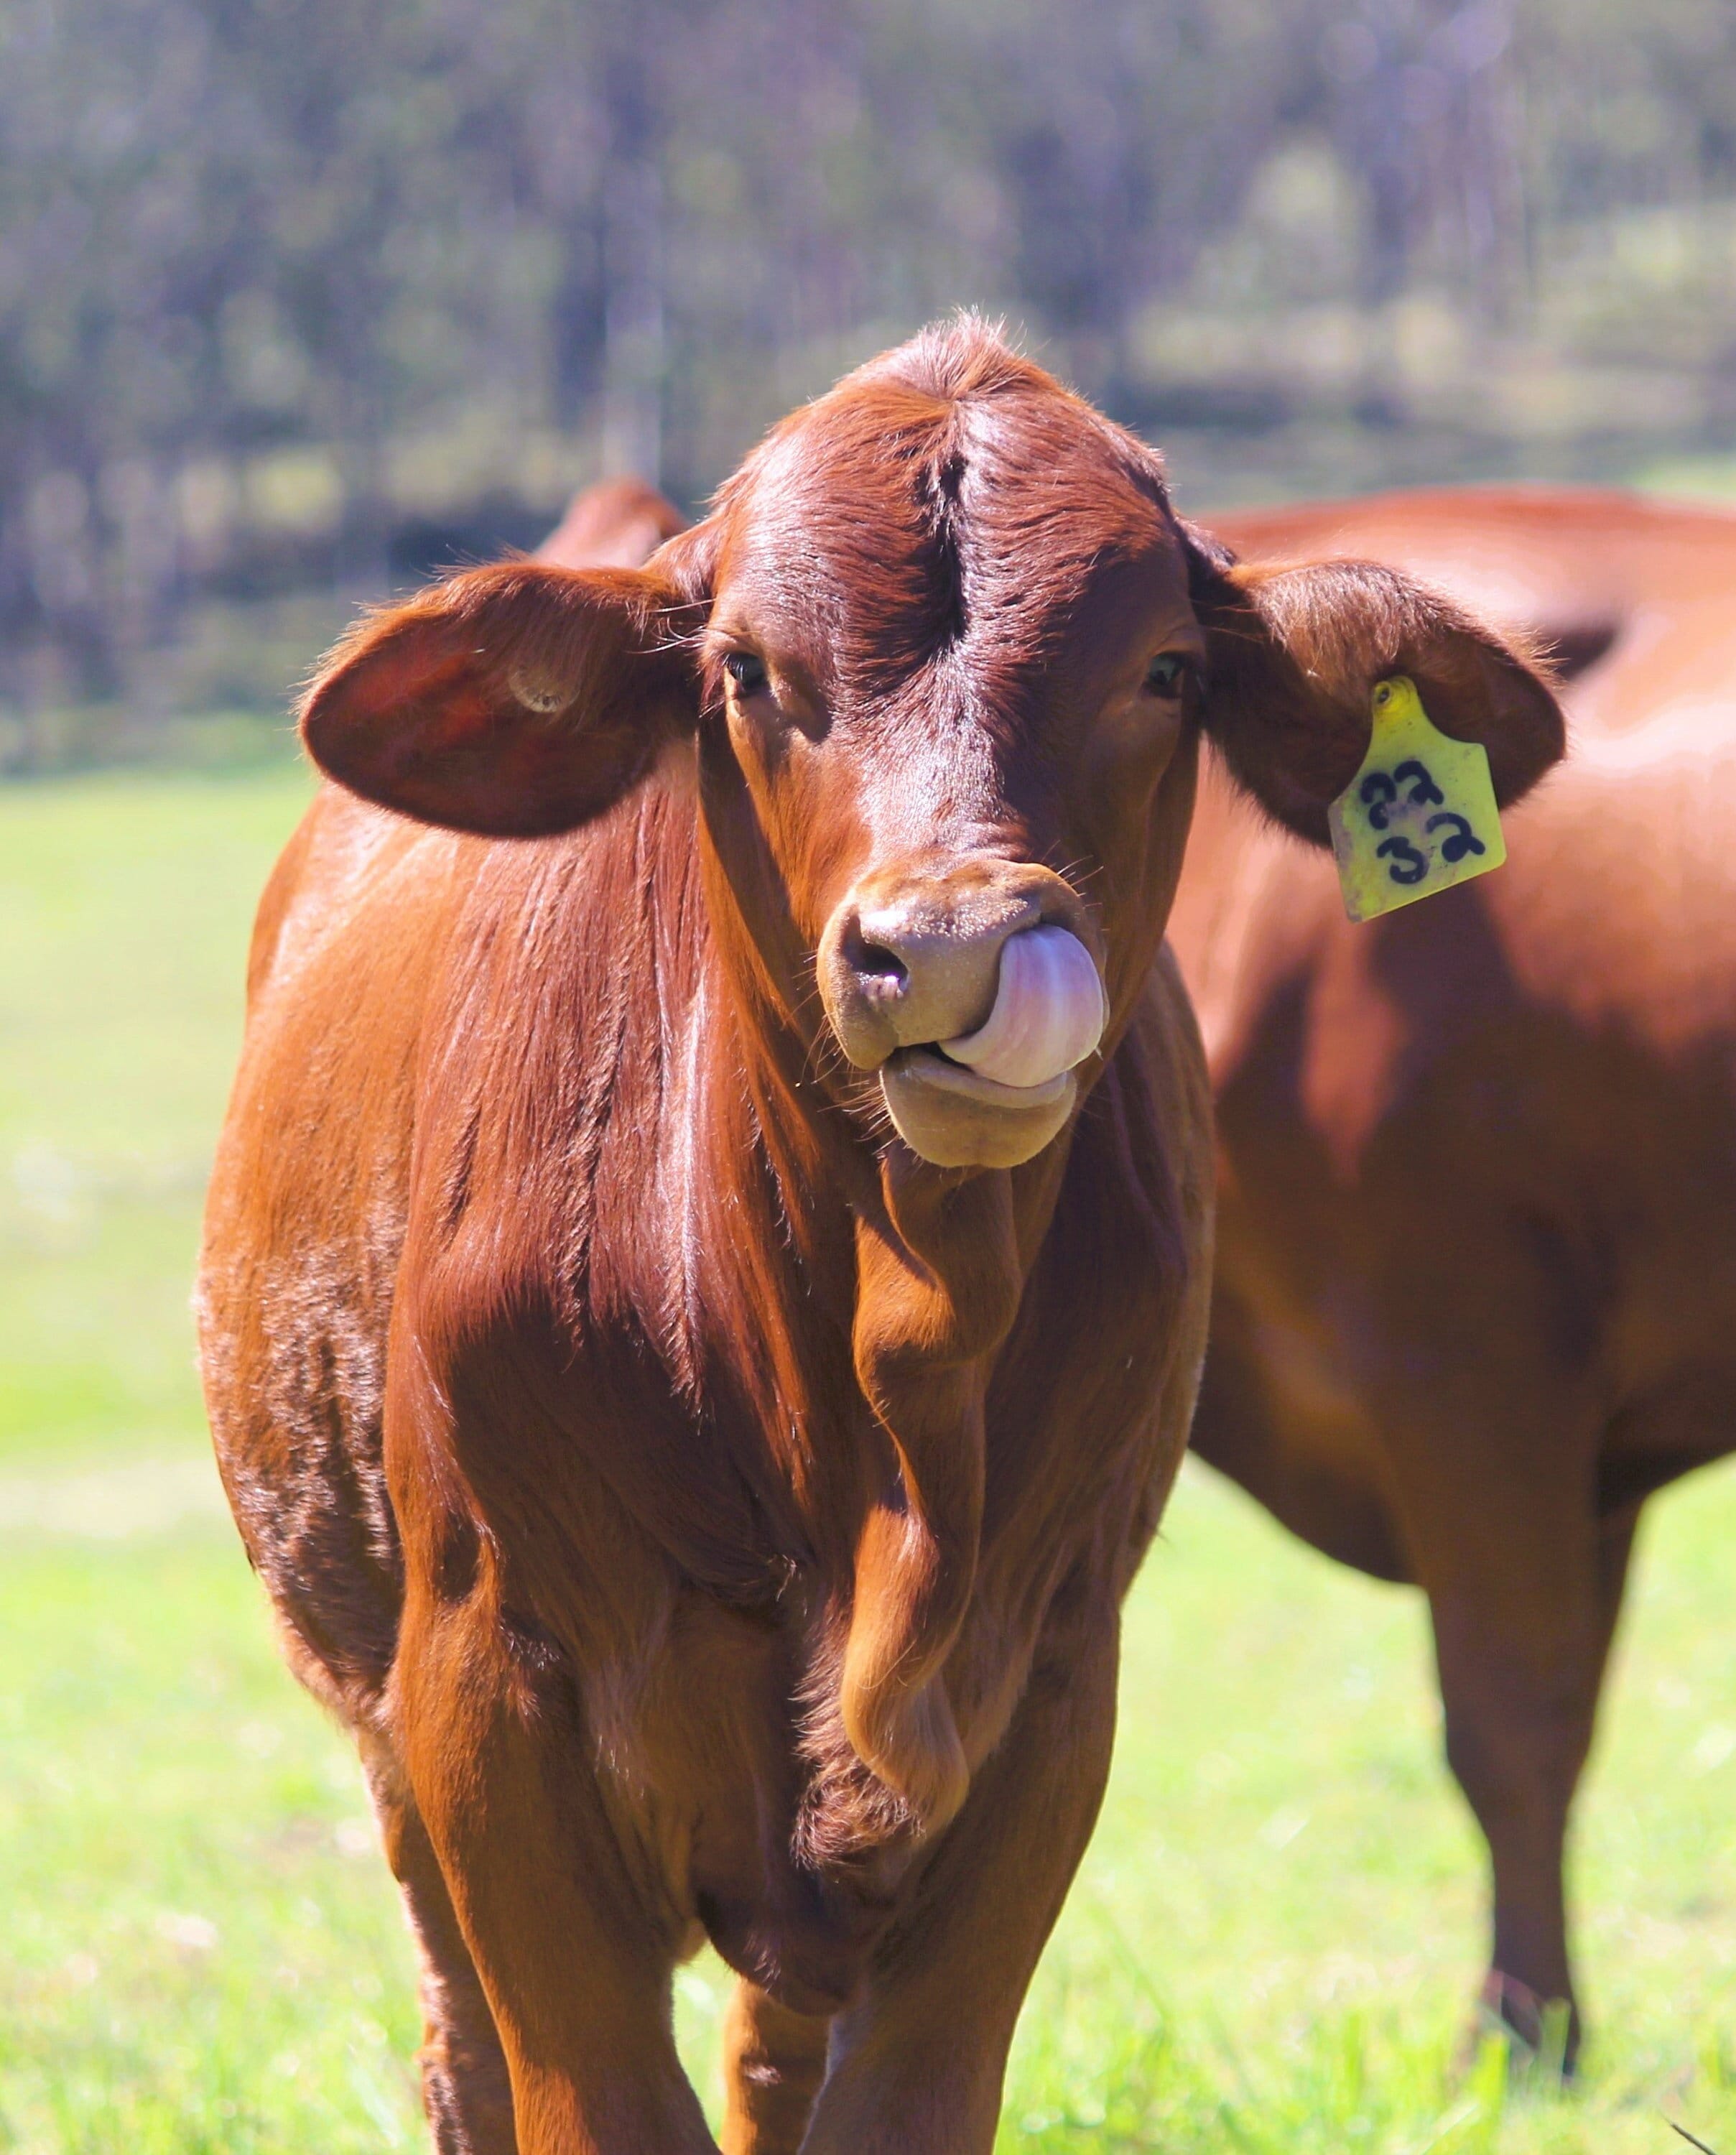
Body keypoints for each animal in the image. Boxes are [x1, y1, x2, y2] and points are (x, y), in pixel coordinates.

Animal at [197, 321, 1562, 2154]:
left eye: (1161, 673)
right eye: (747, 672)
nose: (956, 946)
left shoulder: (1043, 1692)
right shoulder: (488, 1685)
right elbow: (579, 2091)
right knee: (460, 2048)